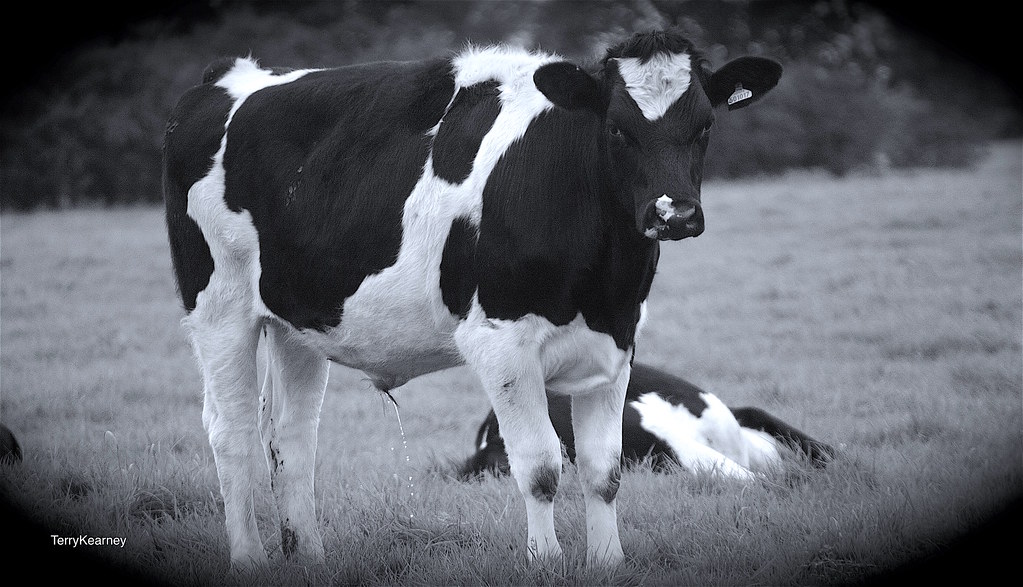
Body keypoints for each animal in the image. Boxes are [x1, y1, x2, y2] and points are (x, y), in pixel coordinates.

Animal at [162, 29, 782, 570]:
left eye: (704, 126)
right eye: (616, 129)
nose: (673, 214)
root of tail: (229, 76)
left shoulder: (616, 343)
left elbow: (603, 469)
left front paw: (608, 562)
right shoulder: (500, 343)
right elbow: (540, 465)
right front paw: (545, 562)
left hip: (298, 325)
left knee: (290, 438)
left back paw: (310, 557)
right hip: (220, 311)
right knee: (232, 433)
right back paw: (248, 558)